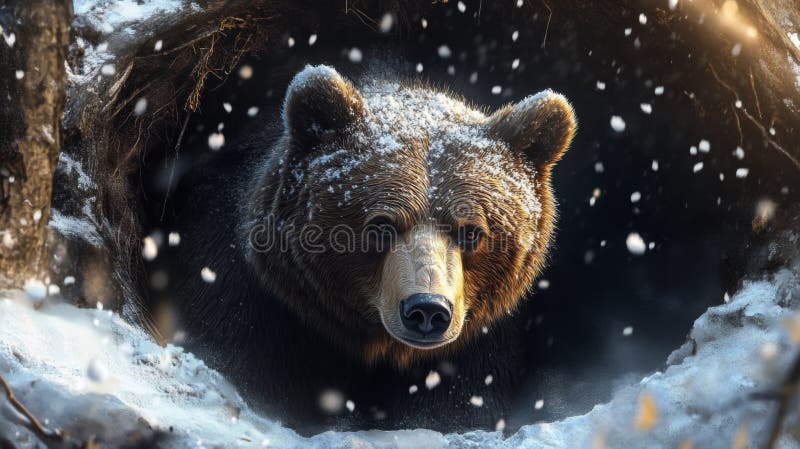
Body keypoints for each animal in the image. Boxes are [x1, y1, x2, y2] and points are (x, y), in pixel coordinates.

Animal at [152, 64, 576, 434]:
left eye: (471, 231)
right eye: (382, 225)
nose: (426, 309)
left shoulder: (483, 343)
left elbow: (461, 400)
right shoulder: (242, 296)